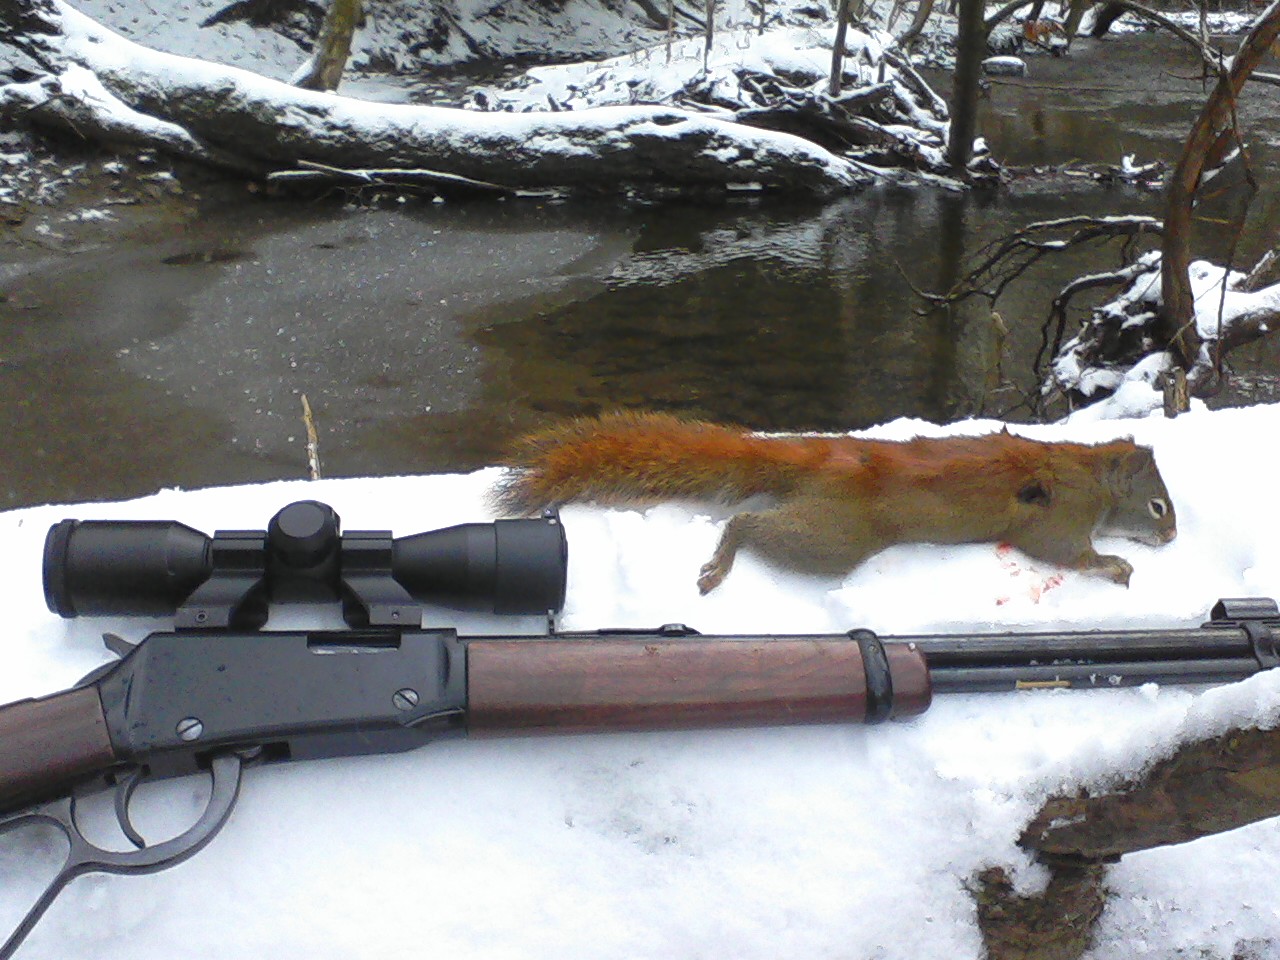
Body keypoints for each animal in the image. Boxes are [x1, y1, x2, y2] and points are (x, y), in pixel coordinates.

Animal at [493, 412, 1178, 594]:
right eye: (1158, 508)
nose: (1172, 539)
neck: (1091, 475)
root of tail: (828, 459)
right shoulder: (1058, 519)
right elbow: (1065, 554)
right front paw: (1117, 566)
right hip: (834, 537)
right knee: (746, 523)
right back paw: (718, 565)